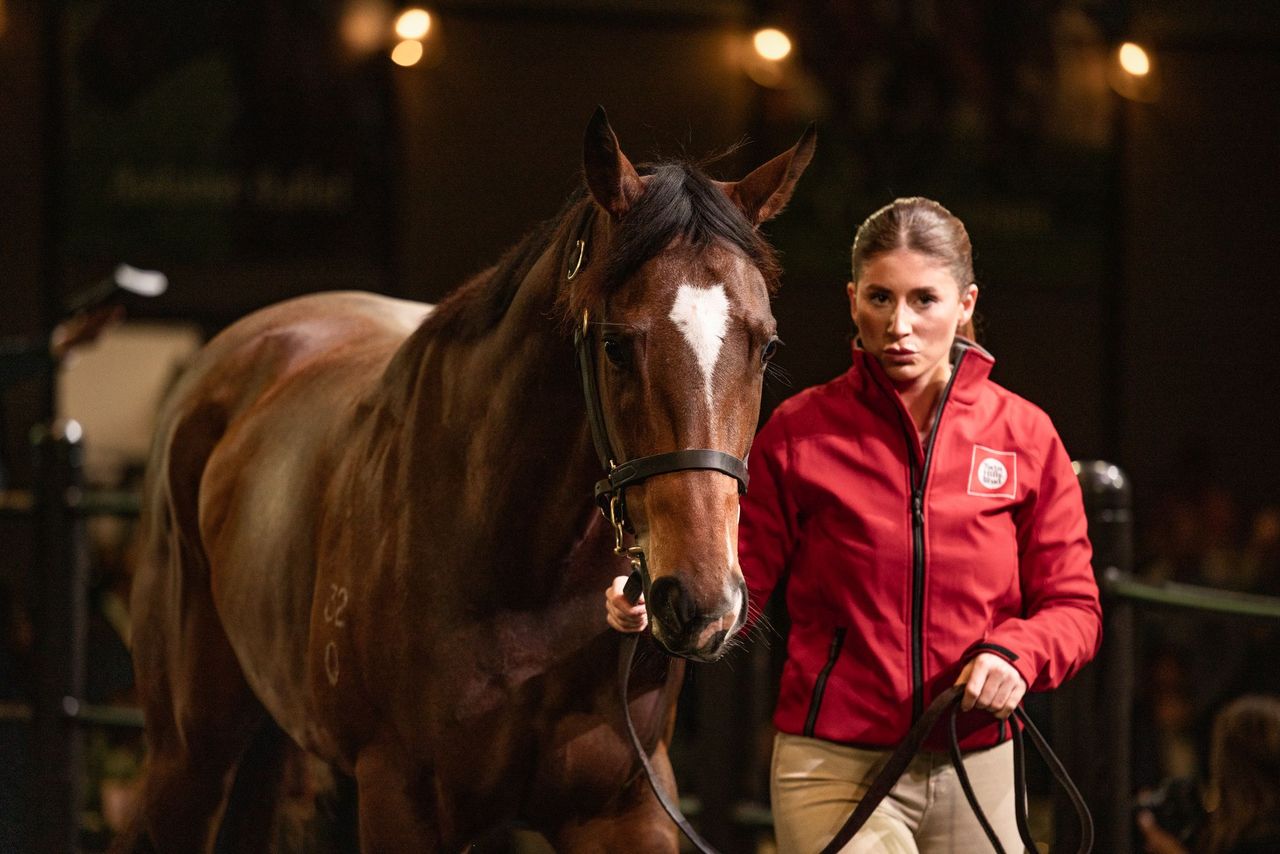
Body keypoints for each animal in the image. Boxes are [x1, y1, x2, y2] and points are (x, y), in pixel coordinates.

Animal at [117, 108, 814, 852]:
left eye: (766, 346)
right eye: (616, 346)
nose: (703, 604)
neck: (522, 581)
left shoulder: (624, 806)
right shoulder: (401, 804)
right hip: (189, 759)